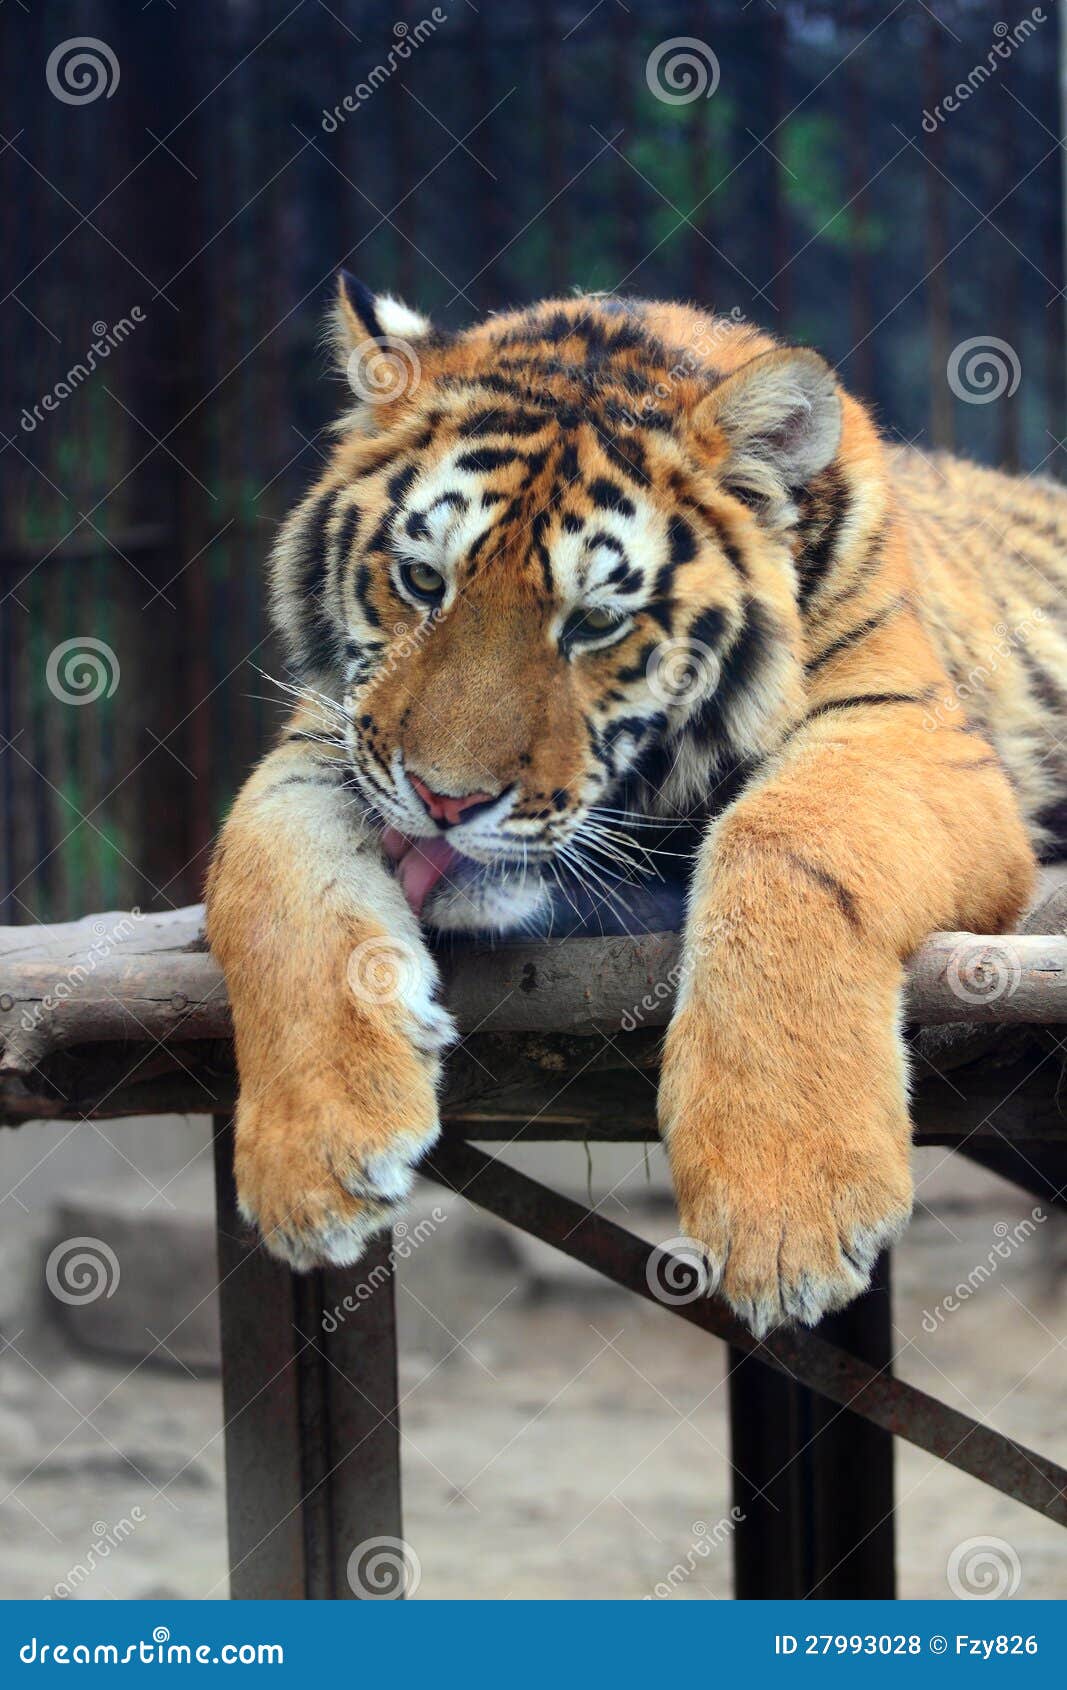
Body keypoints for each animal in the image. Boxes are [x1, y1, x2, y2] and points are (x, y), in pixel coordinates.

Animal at [205, 277, 1067, 1337]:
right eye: (421, 581)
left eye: (595, 623)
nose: (445, 802)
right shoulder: (329, 739)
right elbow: (263, 868)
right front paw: (315, 1158)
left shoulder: (909, 730)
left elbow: (785, 836)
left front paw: (785, 1204)